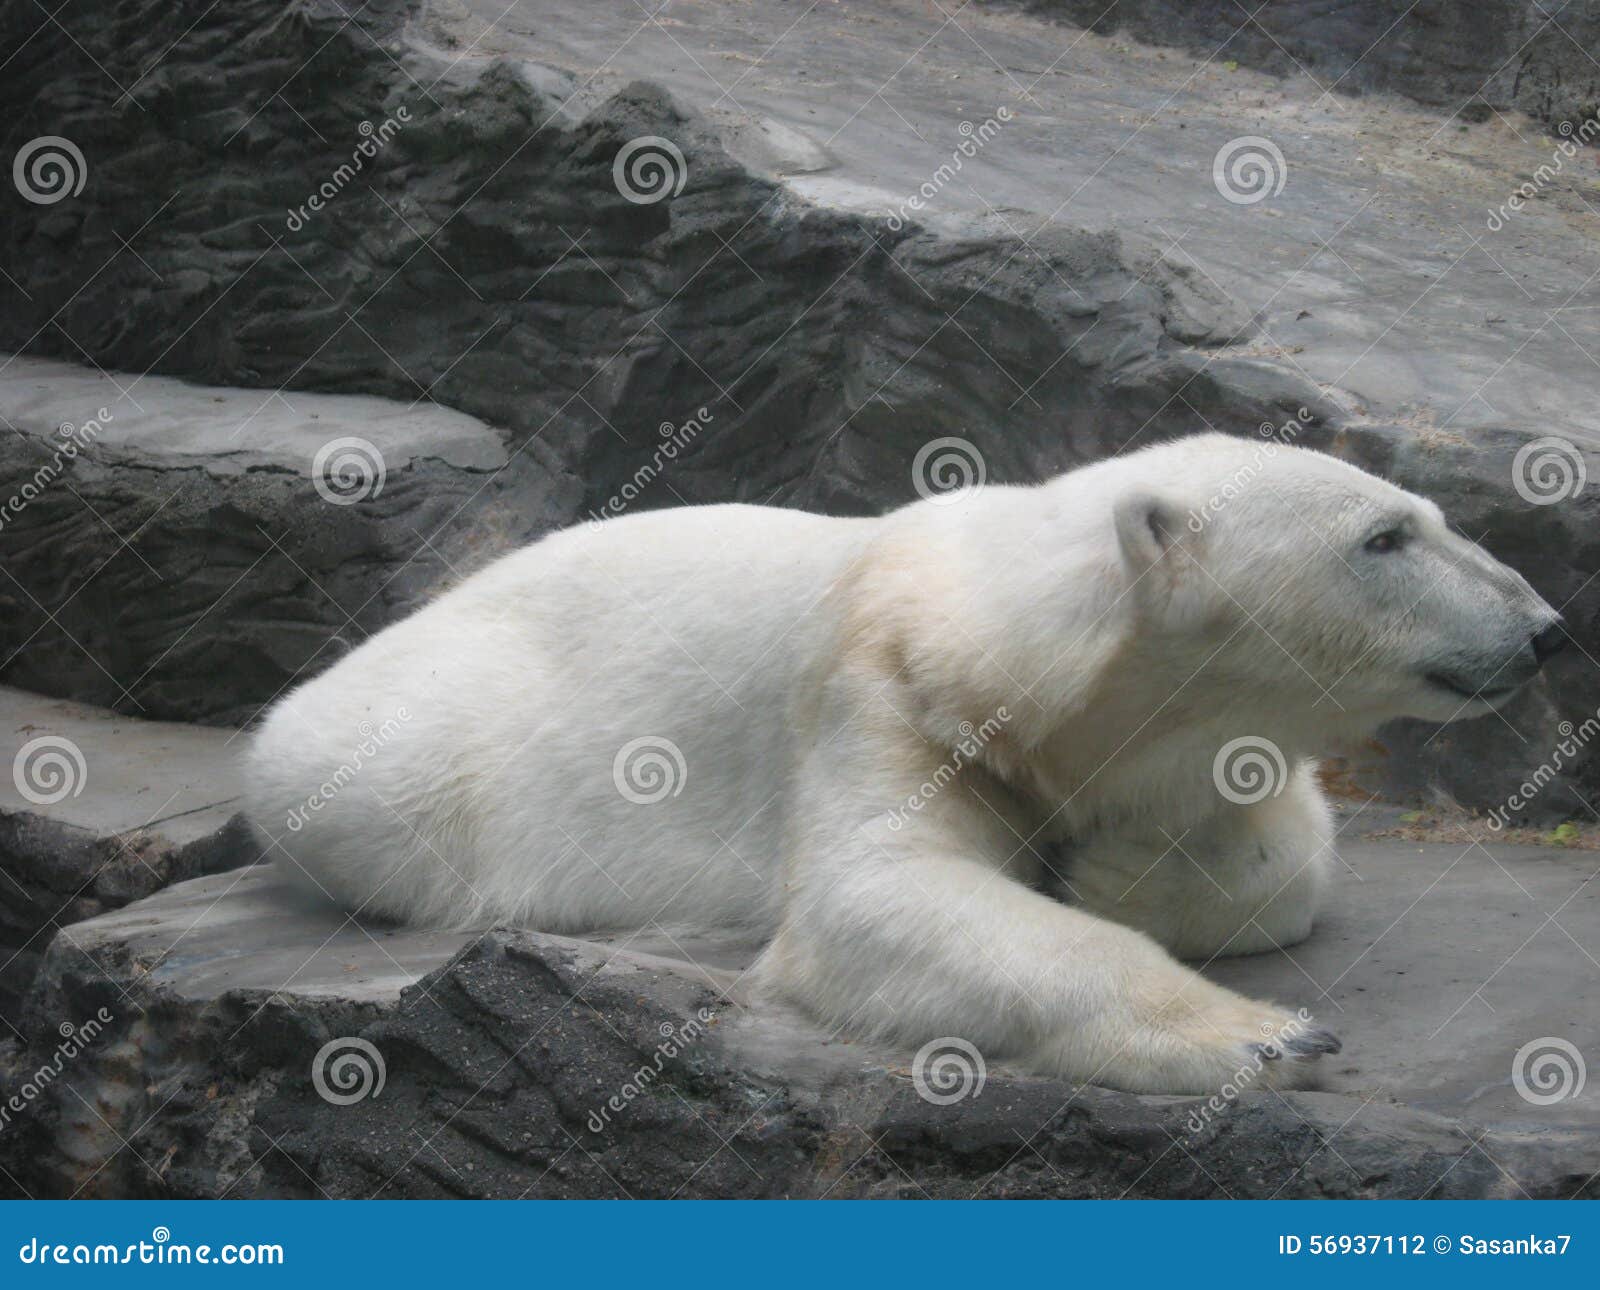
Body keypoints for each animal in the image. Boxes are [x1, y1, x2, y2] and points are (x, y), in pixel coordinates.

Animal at [245, 433, 1562, 1094]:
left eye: (1426, 516)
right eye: (1385, 537)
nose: (1545, 625)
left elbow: (1283, 847)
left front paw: (1117, 866)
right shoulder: (883, 700)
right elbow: (875, 896)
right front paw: (1263, 1036)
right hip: (402, 745)